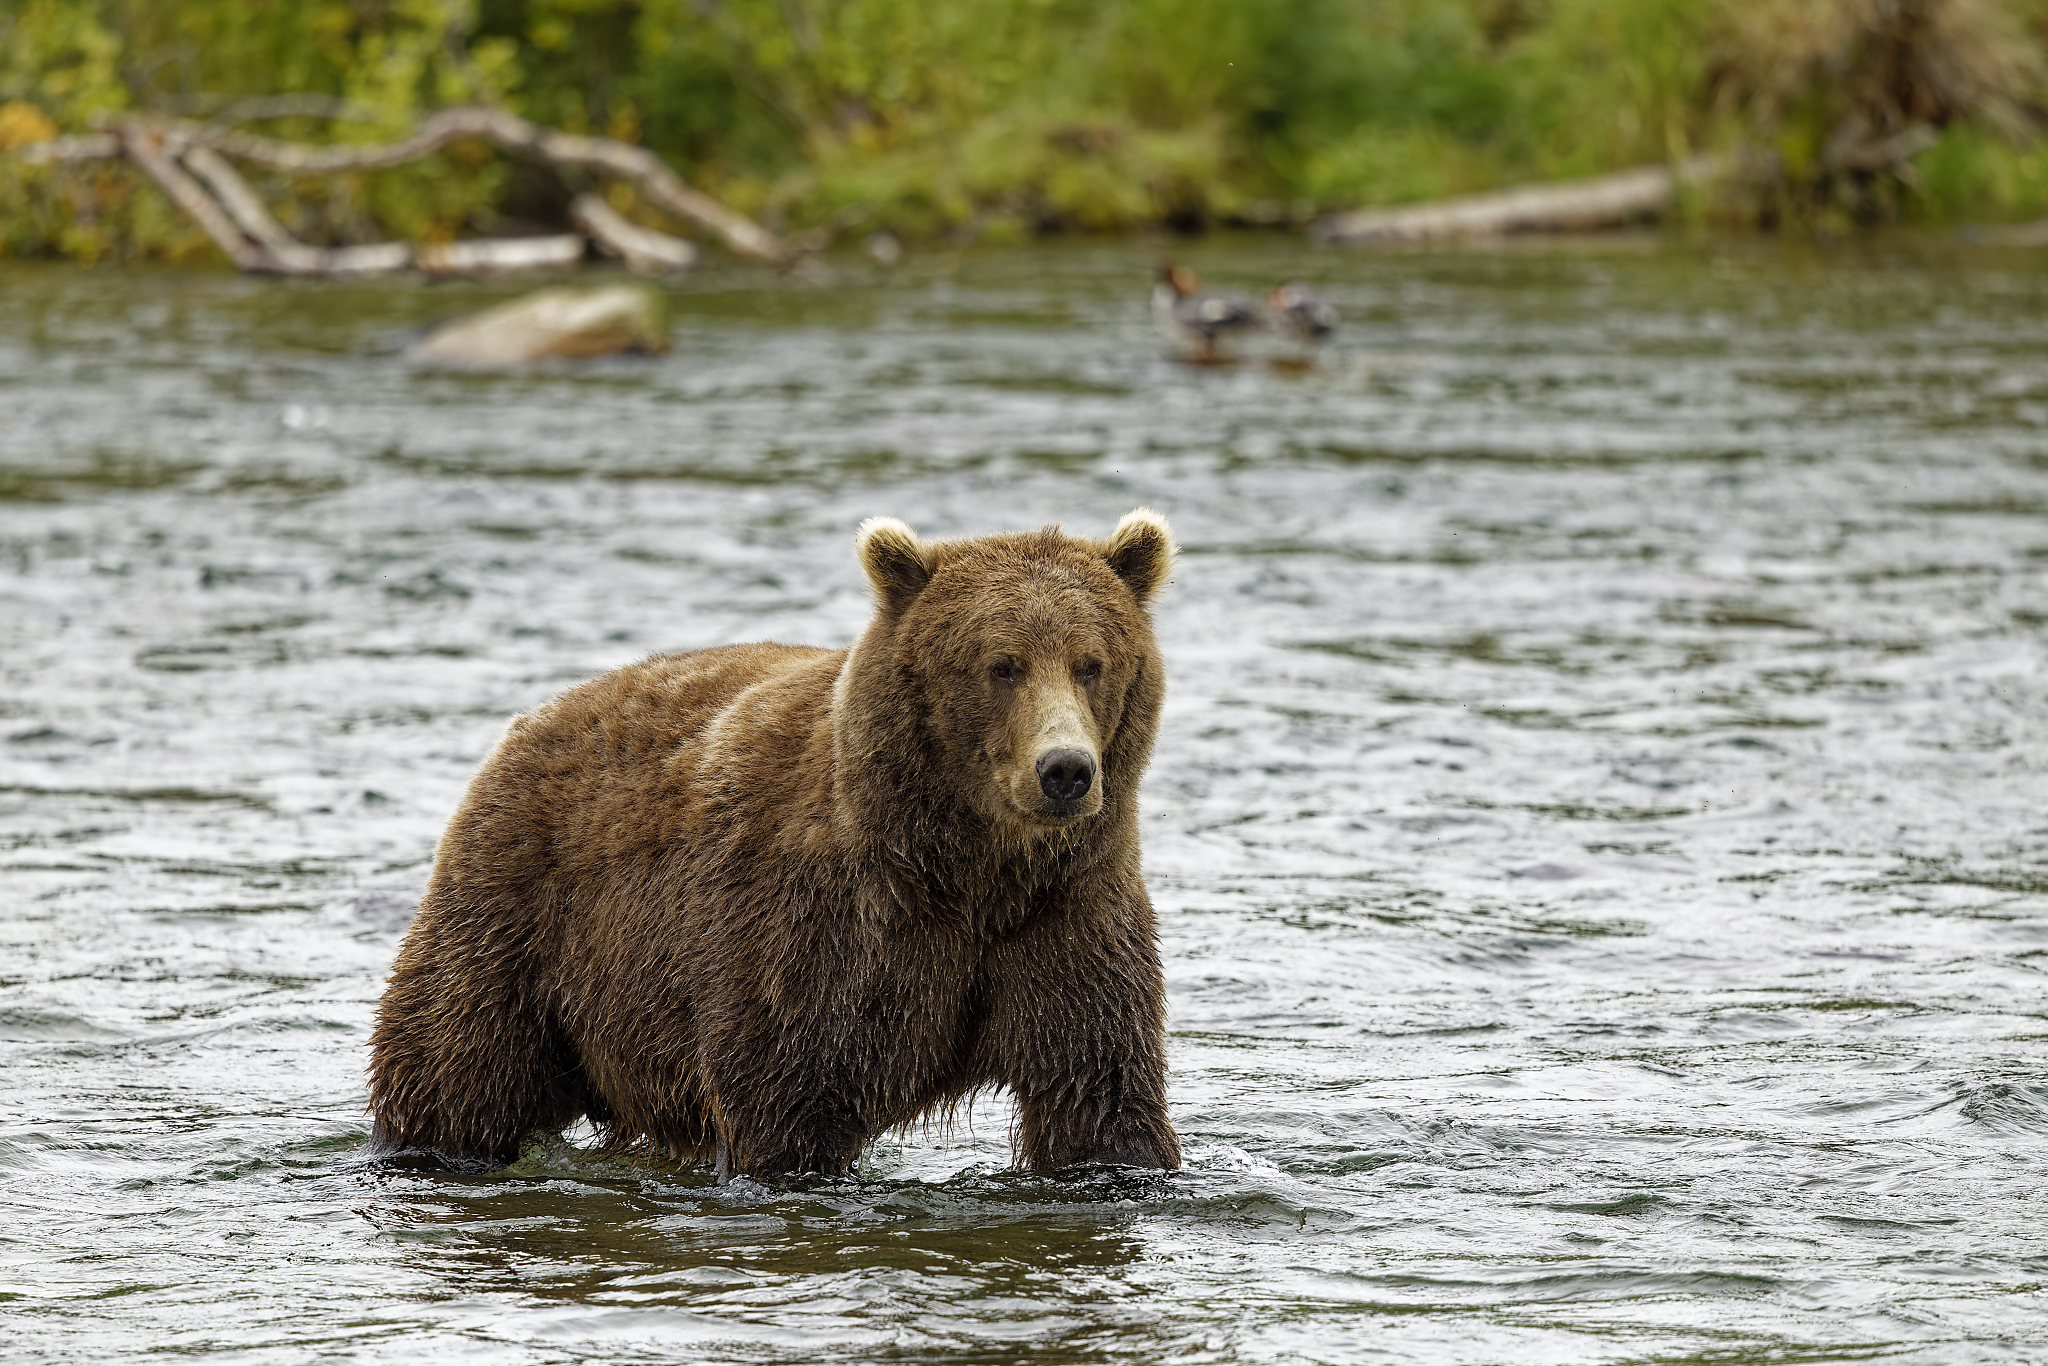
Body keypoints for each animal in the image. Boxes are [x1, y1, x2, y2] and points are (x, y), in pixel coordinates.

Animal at [366, 509, 1183, 1180]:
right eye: (1001, 665)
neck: (967, 869)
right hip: (522, 921)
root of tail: (532, 722)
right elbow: (788, 1101)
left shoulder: (1066, 918)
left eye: (1092, 662)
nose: (1065, 771)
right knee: (457, 1068)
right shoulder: (817, 930)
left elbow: (1099, 1098)